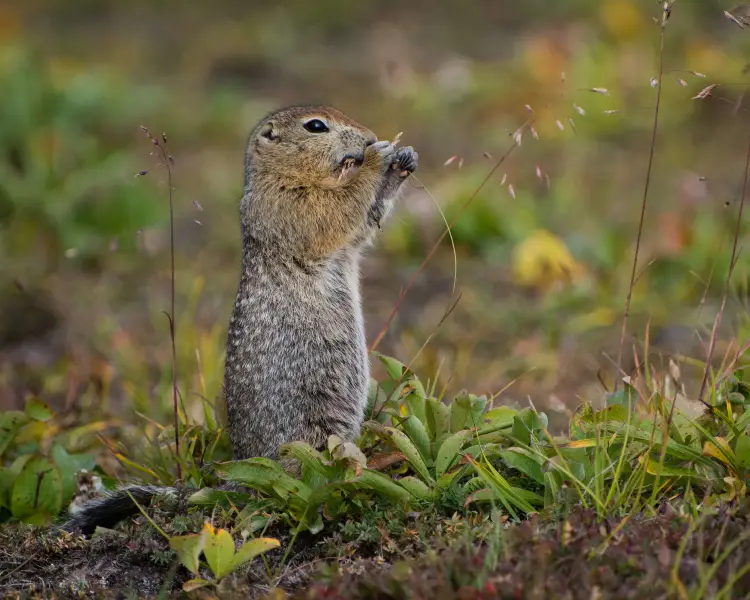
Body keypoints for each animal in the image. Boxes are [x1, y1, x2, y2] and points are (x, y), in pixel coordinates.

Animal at [60, 105, 418, 535]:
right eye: (316, 126)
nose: (368, 137)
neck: (280, 175)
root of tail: (236, 482)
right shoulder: (287, 203)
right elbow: (333, 211)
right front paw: (379, 159)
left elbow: (362, 225)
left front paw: (403, 160)